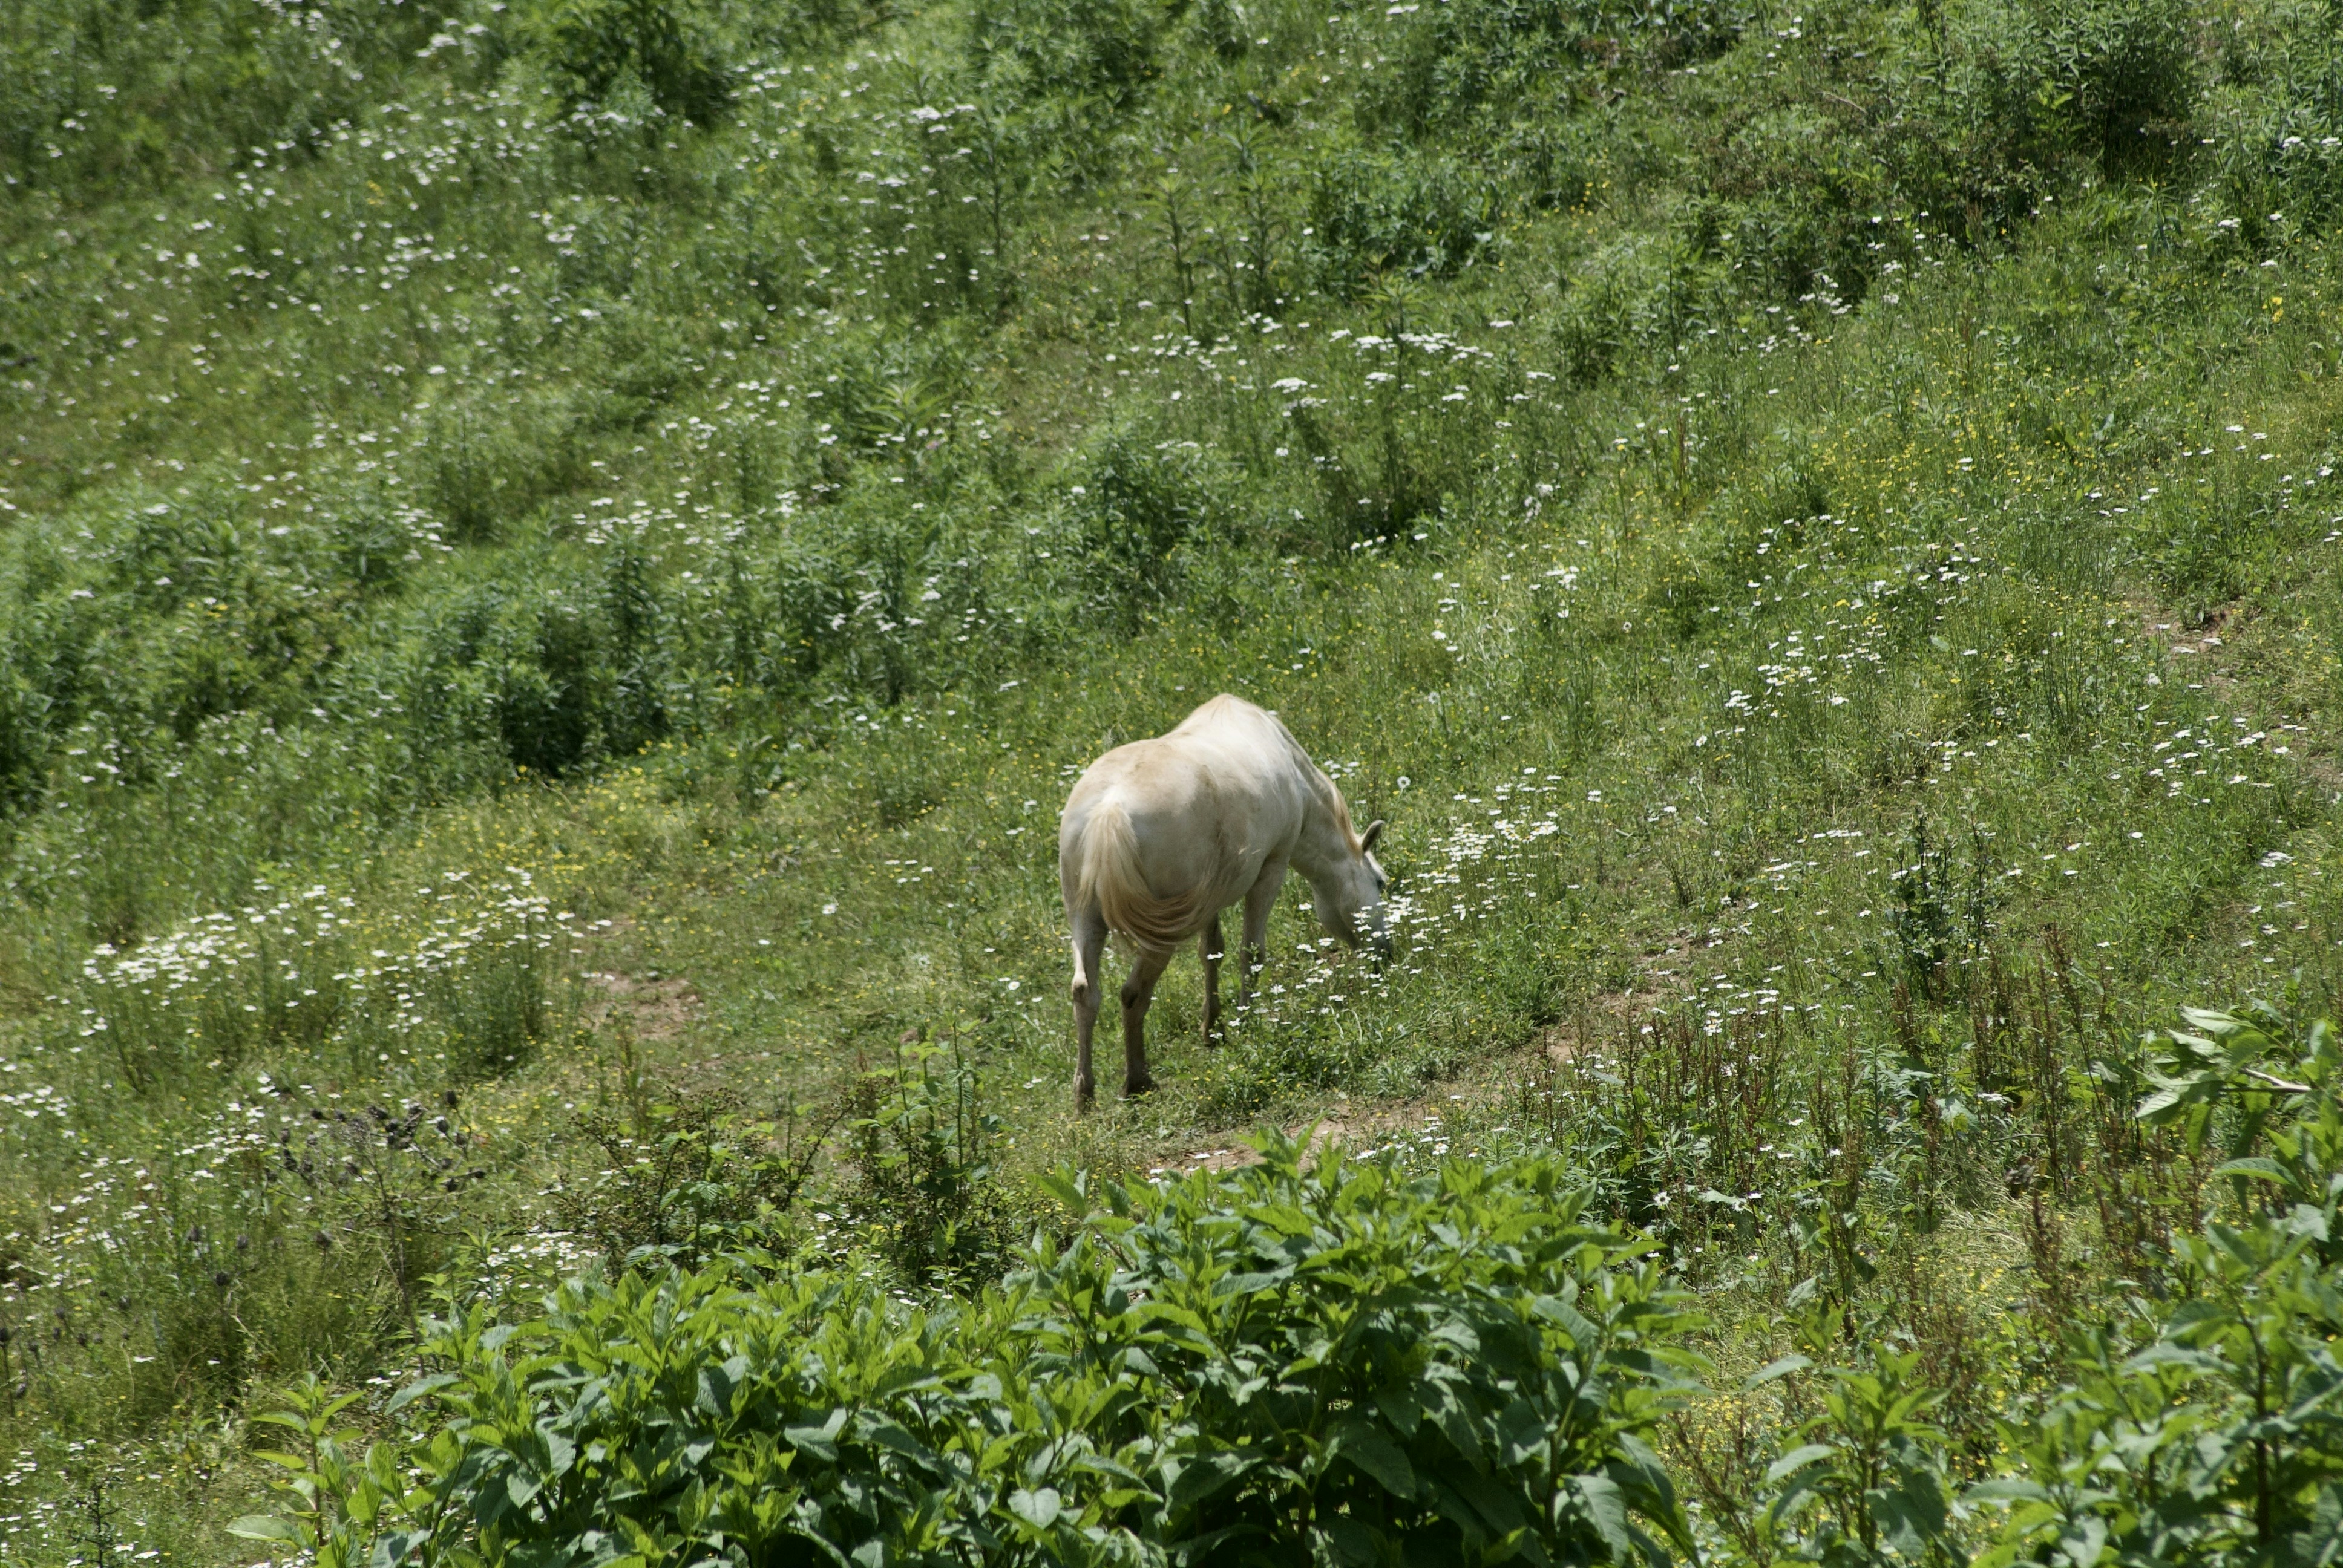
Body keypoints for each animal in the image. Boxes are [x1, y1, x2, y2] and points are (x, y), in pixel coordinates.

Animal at [1058, 693, 1389, 1107]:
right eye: (1381, 883)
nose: (1387, 955)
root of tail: (1110, 810)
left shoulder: (1207, 902)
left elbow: (1211, 952)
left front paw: (1213, 1027)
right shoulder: (1272, 870)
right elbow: (1252, 952)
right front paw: (1246, 1021)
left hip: (1086, 921)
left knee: (1086, 993)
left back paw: (1084, 1094)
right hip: (1160, 935)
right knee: (1134, 993)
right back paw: (1137, 1080)